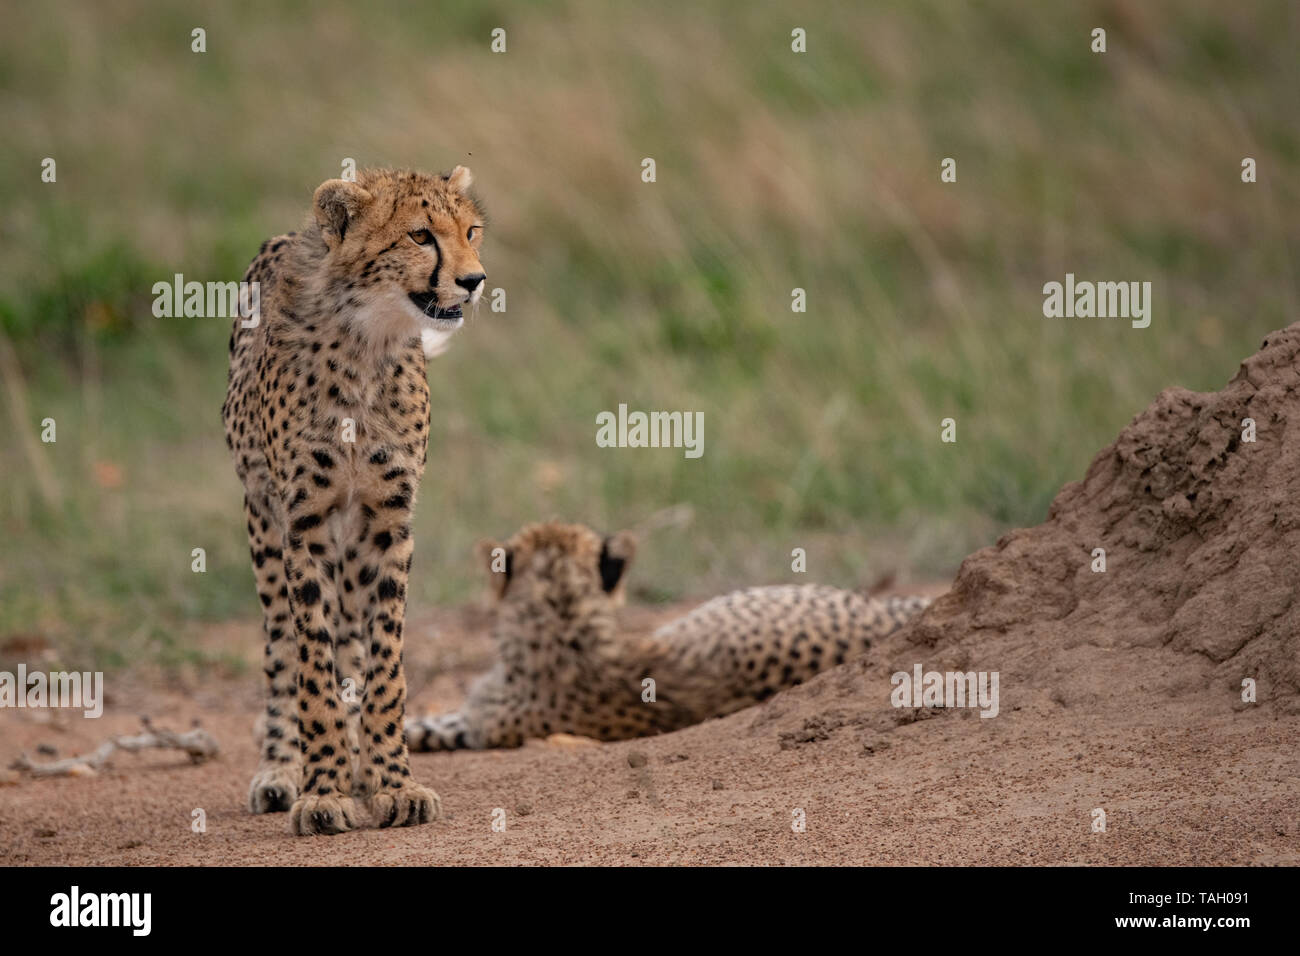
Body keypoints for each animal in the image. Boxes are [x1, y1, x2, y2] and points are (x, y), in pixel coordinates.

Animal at [222, 165, 487, 834]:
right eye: (420, 235)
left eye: (470, 231)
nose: (474, 280)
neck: (369, 340)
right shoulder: (304, 525)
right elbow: (312, 666)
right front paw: (322, 790)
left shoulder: (388, 524)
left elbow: (383, 662)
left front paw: (392, 780)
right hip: (263, 525)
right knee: (282, 648)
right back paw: (284, 770)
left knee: (349, 640)